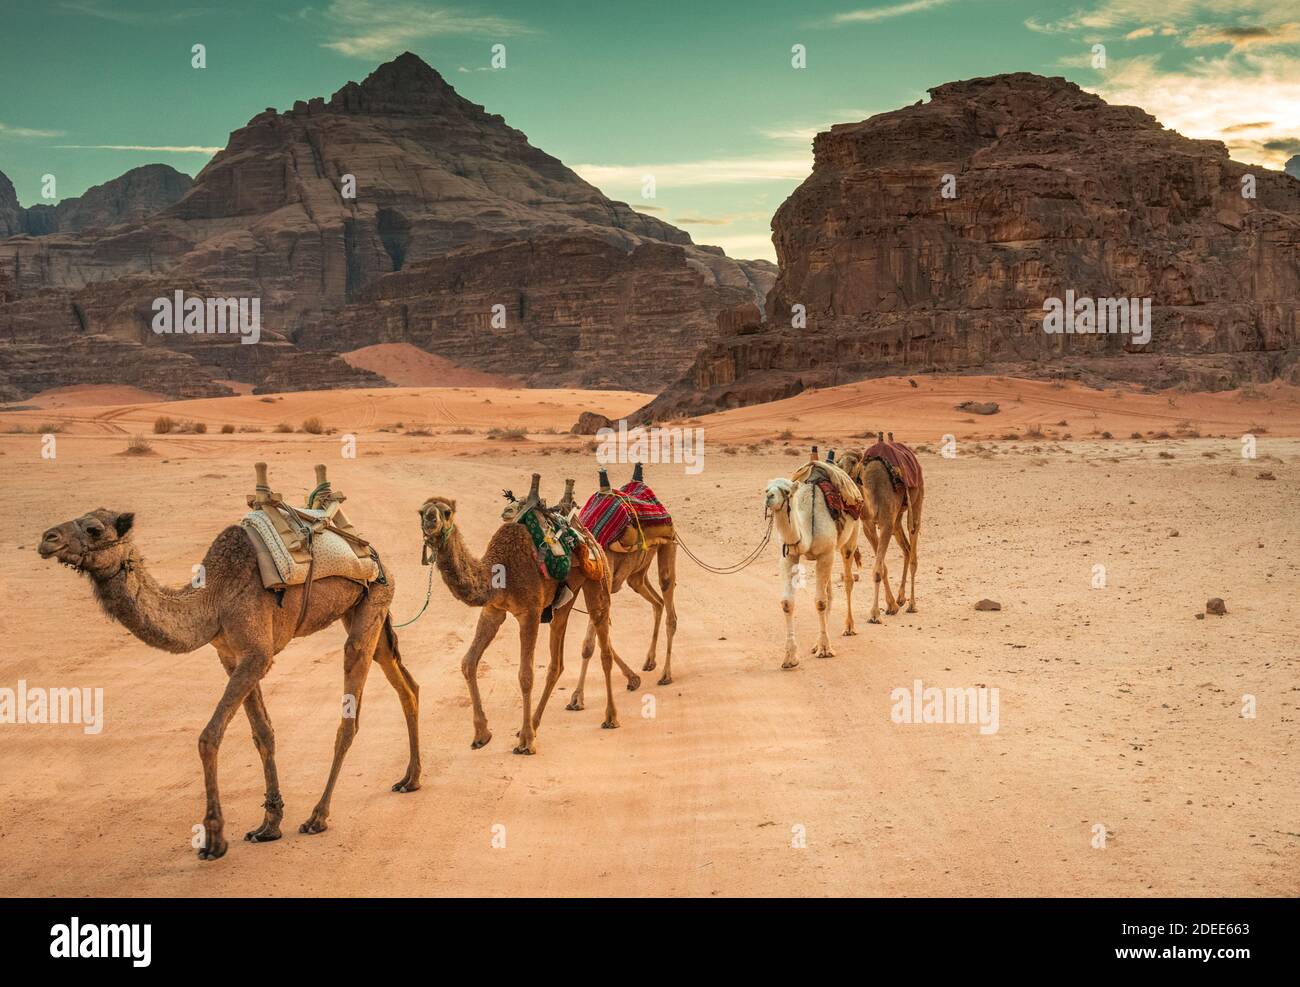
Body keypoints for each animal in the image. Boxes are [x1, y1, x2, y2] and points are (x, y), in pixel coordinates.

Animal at [38, 504, 421, 862]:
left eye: (94, 528)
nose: (47, 538)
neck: (213, 599)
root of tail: (374, 555)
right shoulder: (230, 656)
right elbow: (263, 733)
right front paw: (268, 825)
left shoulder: (256, 655)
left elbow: (209, 737)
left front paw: (213, 839)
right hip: (364, 610)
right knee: (407, 686)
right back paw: (410, 779)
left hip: (373, 602)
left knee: (350, 714)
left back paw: (318, 816)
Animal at [419, 475, 639, 755]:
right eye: (421, 511)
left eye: (446, 512)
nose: (430, 520)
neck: (499, 571)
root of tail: (585, 532)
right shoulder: (493, 610)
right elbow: (468, 662)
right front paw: (482, 734)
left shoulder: (530, 612)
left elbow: (525, 675)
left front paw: (526, 743)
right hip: (563, 601)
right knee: (557, 662)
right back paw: (533, 724)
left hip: (598, 581)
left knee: (604, 650)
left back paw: (610, 717)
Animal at [763, 467, 860, 669]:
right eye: (766, 489)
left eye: (787, 491)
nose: (769, 496)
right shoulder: (789, 555)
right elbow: (787, 603)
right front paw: (790, 658)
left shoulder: (825, 554)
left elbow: (820, 602)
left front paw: (825, 650)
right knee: (829, 592)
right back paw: (817, 643)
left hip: (850, 539)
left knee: (847, 580)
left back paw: (849, 627)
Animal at [839, 437, 925, 623]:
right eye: (838, 463)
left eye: (854, 463)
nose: (844, 479)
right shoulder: (869, 526)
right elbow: (883, 567)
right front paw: (891, 606)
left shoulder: (885, 523)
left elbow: (878, 570)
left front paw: (874, 614)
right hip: (897, 517)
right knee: (907, 549)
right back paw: (901, 598)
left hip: (917, 498)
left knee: (913, 544)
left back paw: (912, 604)